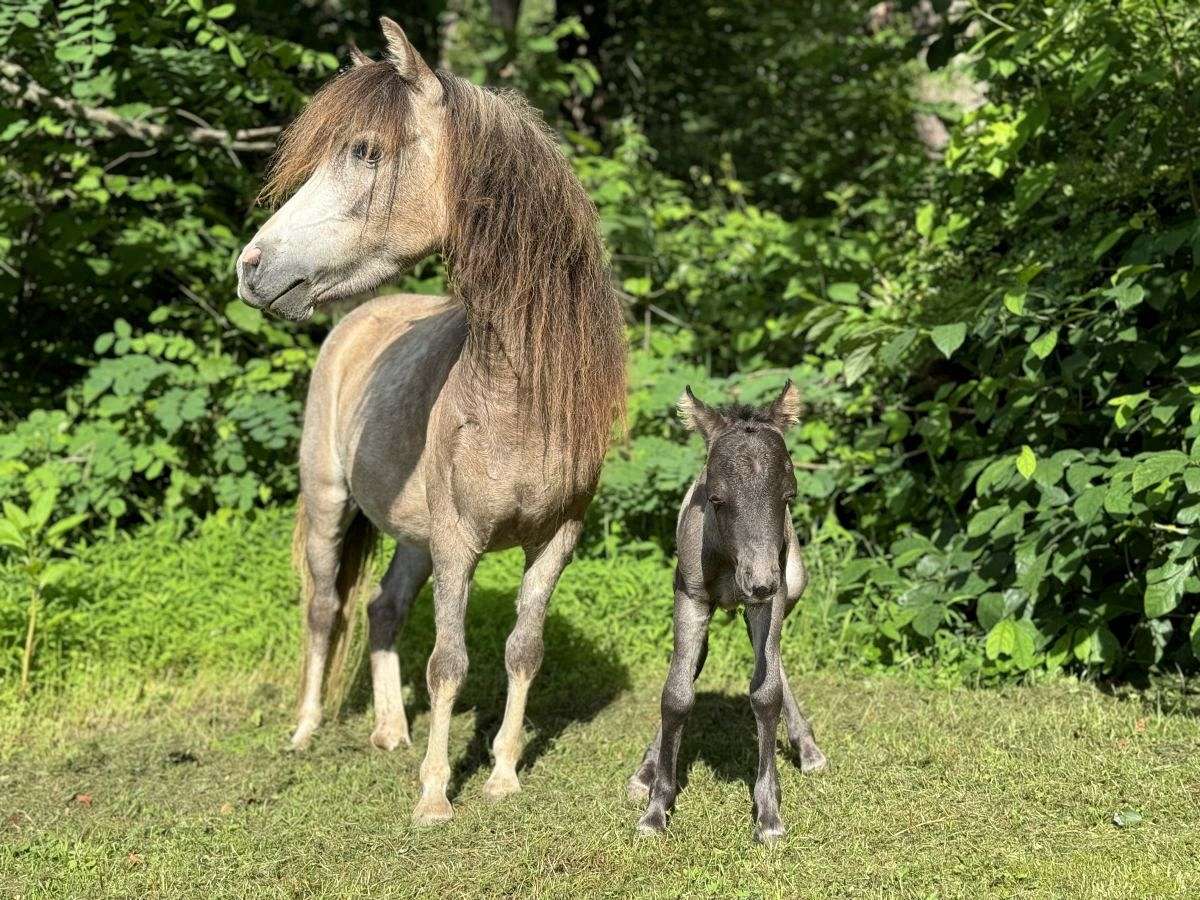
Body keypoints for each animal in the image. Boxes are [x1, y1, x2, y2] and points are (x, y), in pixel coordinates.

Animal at [235, 18, 625, 825]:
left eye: (364, 151)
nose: (250, 266)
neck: (515, 398)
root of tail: (360, 320)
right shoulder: (459, 544)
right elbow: (449, 662)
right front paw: (437, 796)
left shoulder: (554, 541)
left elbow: (522, 650)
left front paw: (502, 774)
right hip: (331, 505)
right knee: (326, 609)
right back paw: (307, 730)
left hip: (412, 536)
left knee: (382, 608)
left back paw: (390, 731)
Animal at [627, 382, 827, 843]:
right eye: (716, 498)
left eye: (789, 496)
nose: (759, 582)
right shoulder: (690, 598)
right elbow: (676, 695)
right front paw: (655, 809)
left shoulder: (771, 601)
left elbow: (766, 691)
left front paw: (768, 814)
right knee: (693, 665)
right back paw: (646, 770)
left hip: (791, 586)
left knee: (774, 662)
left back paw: (808, 748)